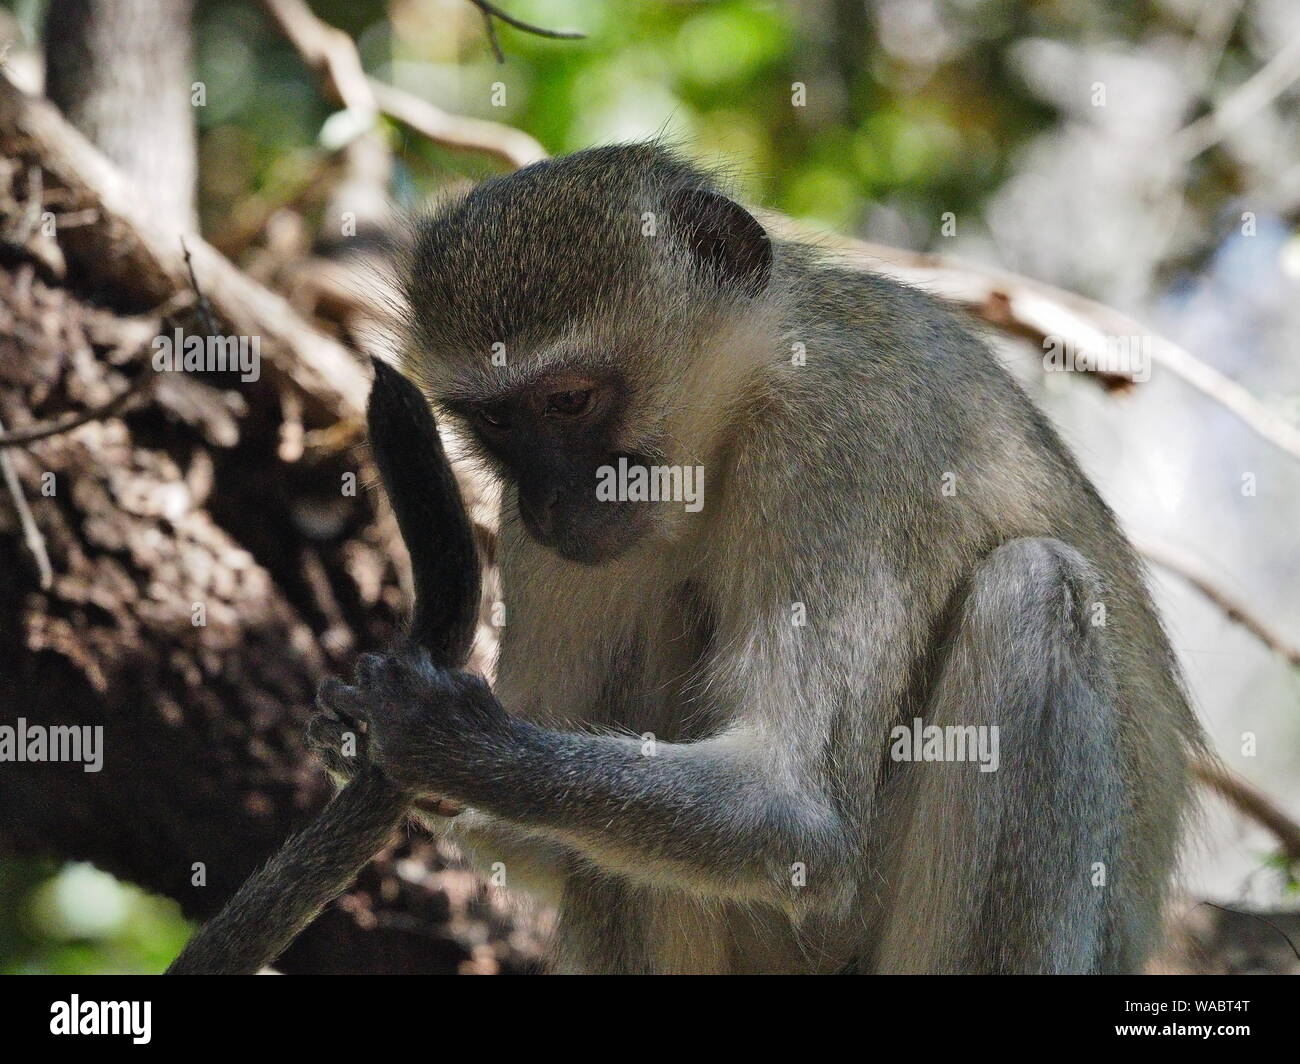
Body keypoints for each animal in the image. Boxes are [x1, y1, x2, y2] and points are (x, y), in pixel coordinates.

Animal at [174, 142, 1201, 975]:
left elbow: (792, 811)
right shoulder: (551, 550)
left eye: (570, 400)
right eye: (497, 422)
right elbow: (557, 847)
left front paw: (452, 740)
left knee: (1035, 591)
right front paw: (360, 743)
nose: (553, 501)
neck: (740, 414)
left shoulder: (843, 437)